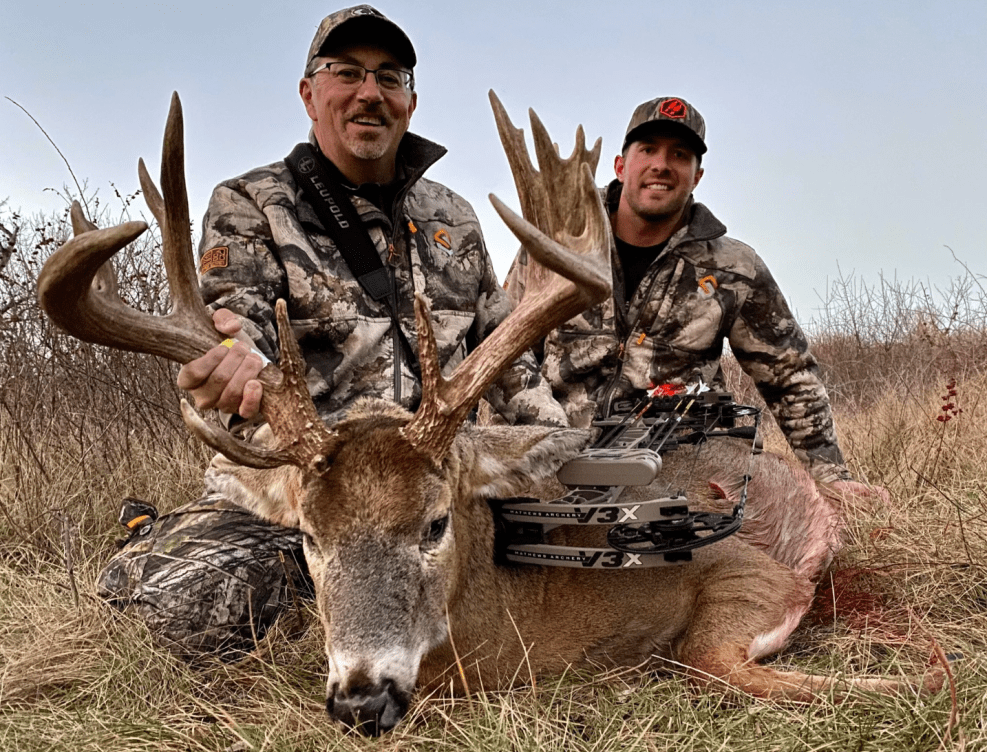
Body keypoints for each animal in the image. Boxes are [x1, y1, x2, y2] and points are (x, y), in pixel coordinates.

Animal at [37, 92, 944, 736]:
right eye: (307, 537)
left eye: (435, 521)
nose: (361, 700)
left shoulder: (741, 572)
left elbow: (713, 657)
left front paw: (909, 675)